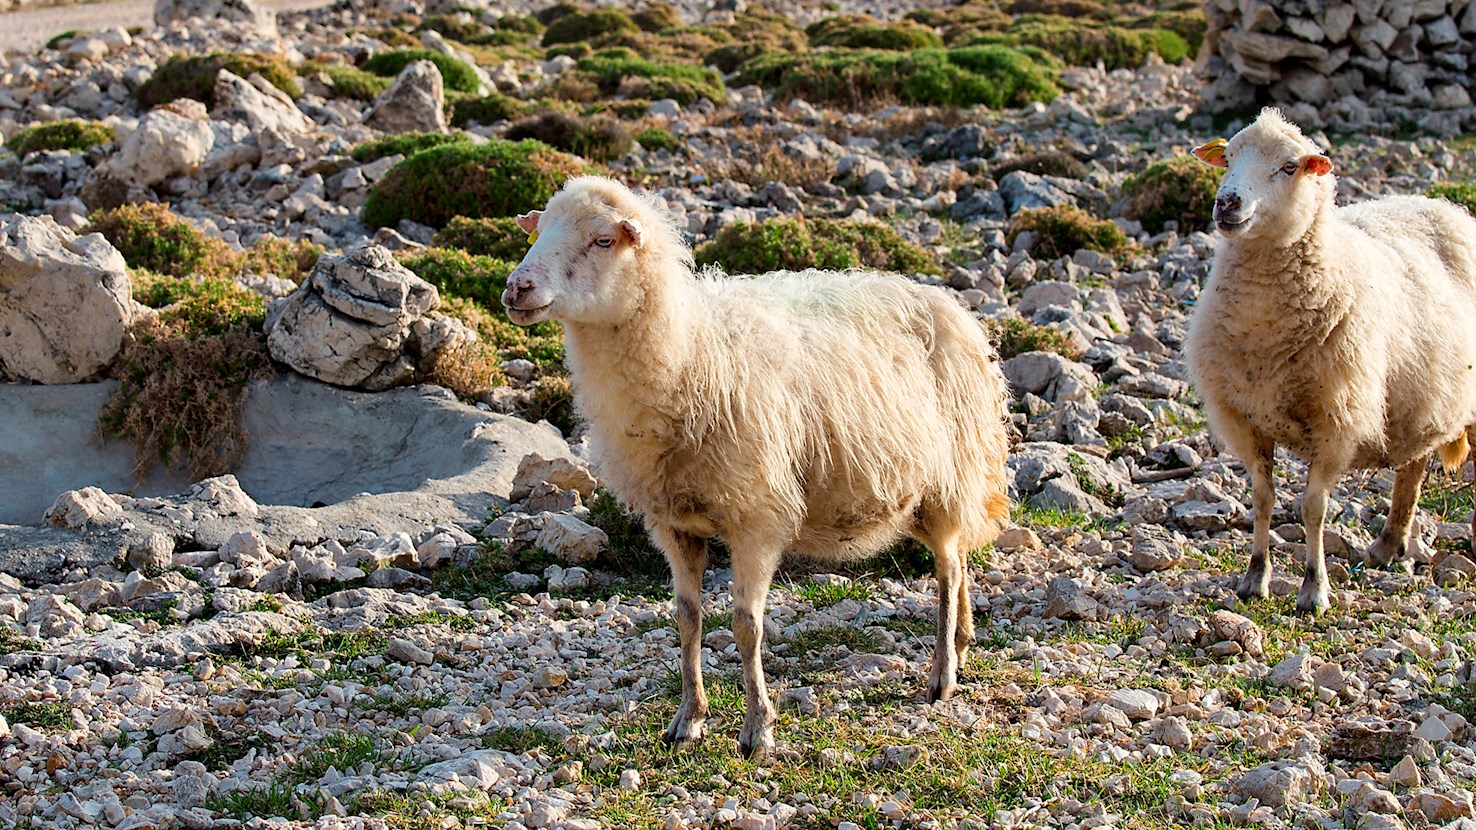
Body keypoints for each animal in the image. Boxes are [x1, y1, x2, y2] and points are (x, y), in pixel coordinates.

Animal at [501, 176, 1012, 757]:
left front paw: (757, 728)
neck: (690, 354)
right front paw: (689, 718)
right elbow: (686, 618)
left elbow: (746, 625)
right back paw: (964, 642)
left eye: (603, 240)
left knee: (948, 570)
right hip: (926, 493)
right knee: (961, 558)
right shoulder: (673, 523)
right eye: (539, 230)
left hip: (948, 476)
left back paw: (943, 673)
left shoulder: (757, 517)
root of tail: (947, 302)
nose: (516, 289)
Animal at [1186, 108, 1476, 615]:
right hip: (1420, 398)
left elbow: (1313, 507)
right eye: (1230, 157)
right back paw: (1389, 545)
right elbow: (1262, 498)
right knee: (1413, 467)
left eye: (1289, 167)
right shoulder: (1245, 418)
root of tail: (1442, 205)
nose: (1227, 203)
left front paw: (1314, 588)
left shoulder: (1336, 421)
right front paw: (1255, 578)